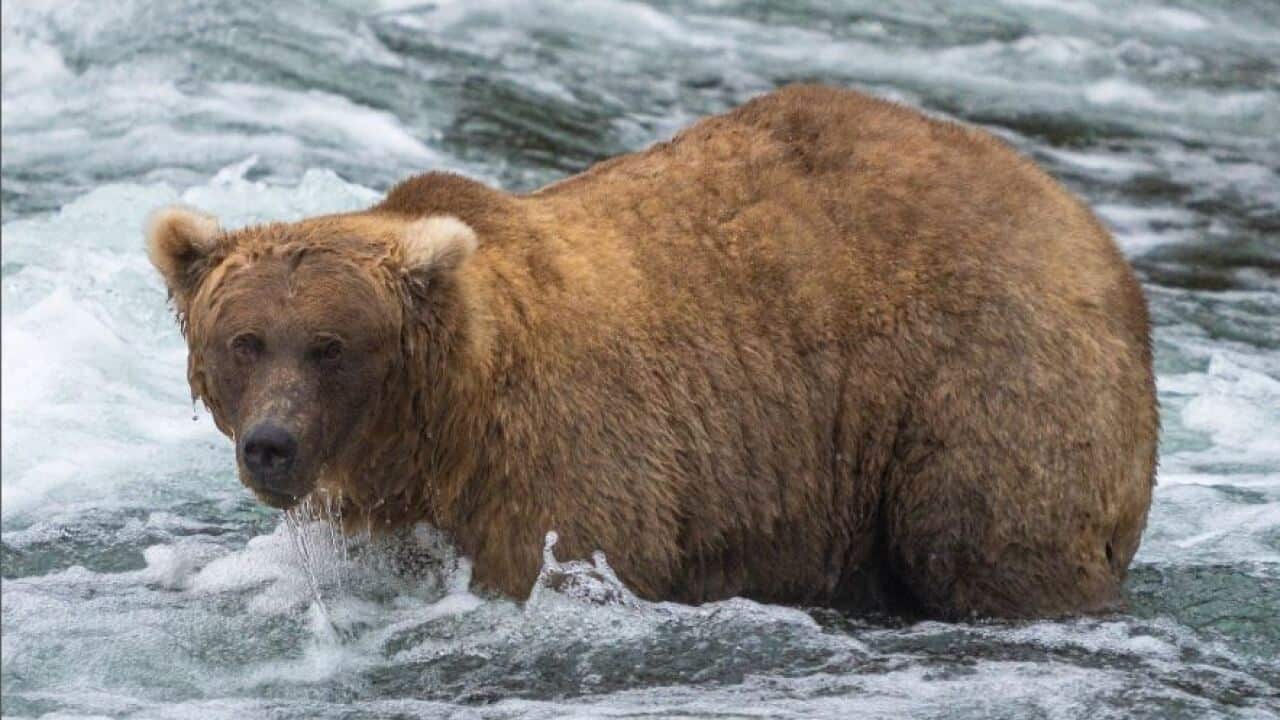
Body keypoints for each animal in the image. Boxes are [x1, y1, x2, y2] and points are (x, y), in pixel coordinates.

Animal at [147, 85, 1157, 619]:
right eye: (245, 342)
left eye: (331, 345)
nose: (271, 445)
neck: (441, 427)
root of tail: (1088, 227)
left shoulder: (565, 461)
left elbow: (567, 556)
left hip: (984, 380)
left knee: (986, 540)